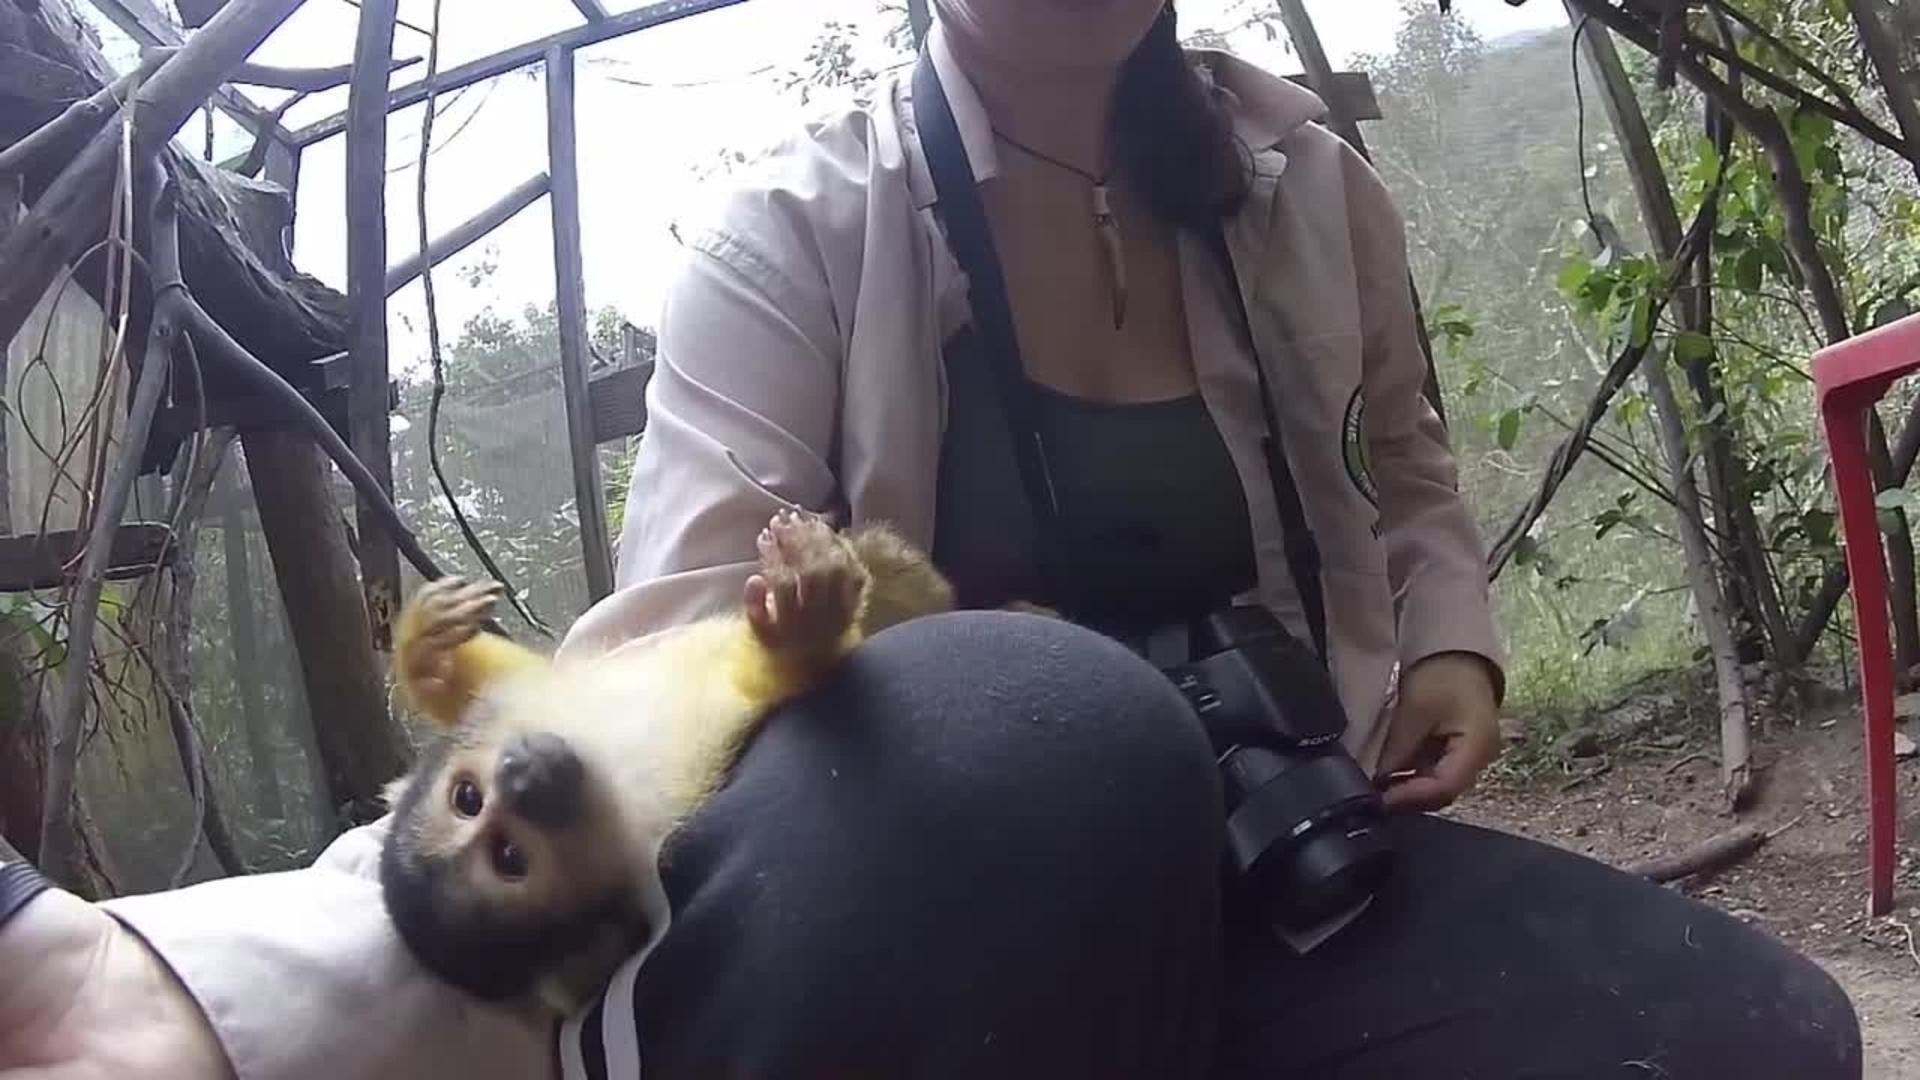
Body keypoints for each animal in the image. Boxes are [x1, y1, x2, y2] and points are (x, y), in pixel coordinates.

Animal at [377, 508, 962, 1019]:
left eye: (466, 798)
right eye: (510, 858)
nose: (521, 776)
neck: (608, 771)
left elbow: (525, 675)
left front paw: (428, 656)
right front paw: (801, 631)